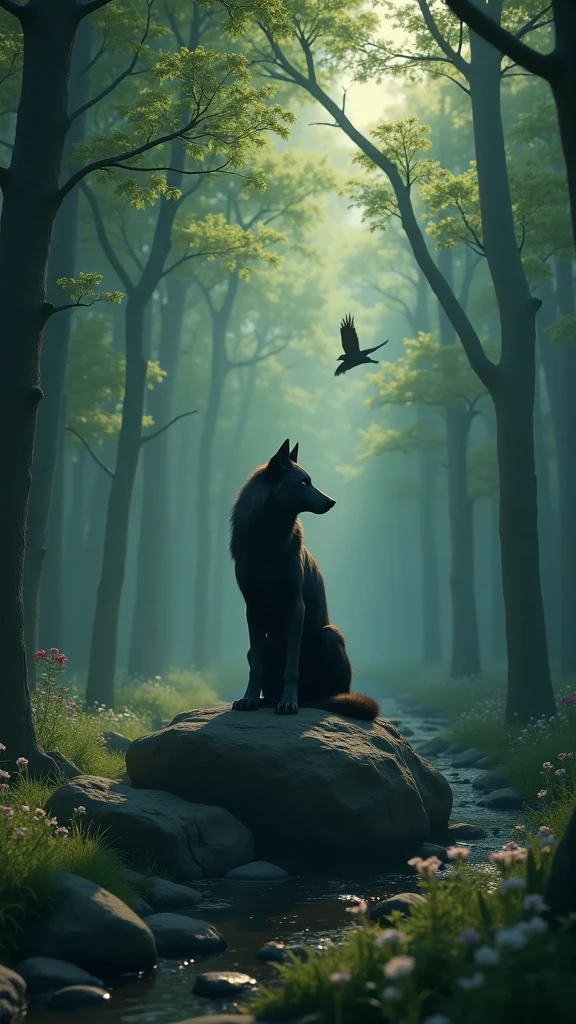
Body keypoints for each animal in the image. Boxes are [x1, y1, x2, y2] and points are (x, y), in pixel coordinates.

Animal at [230, 439, 379, 721]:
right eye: (303, 482)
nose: (332, 501)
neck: (268, 542)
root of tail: (311, 698)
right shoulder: (252, 609)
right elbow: (256, 668)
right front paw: (249, 699)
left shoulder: (295, 606)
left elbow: (292, 667)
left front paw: (289, 703)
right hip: (257, 648)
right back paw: (267, 700)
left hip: (330, 636)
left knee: (329, 693)